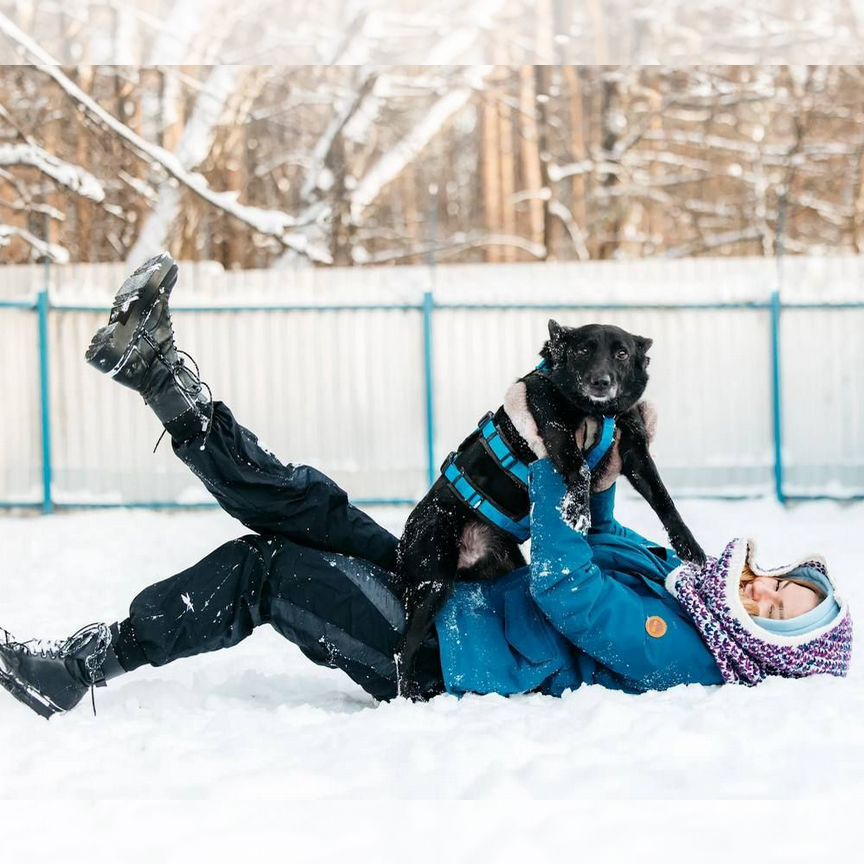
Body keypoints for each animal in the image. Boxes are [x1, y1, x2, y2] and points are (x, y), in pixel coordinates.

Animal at [394, 320, 704, 700]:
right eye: (583, 350)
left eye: (621, 353)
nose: (601, 382)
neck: (596, 412)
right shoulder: (555, 430)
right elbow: (580, 467)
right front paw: (577, 510)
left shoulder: (633, 452)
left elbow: (664, 499)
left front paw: (689, 545)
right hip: (432, 581)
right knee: (401, 650)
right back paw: (408, 696)